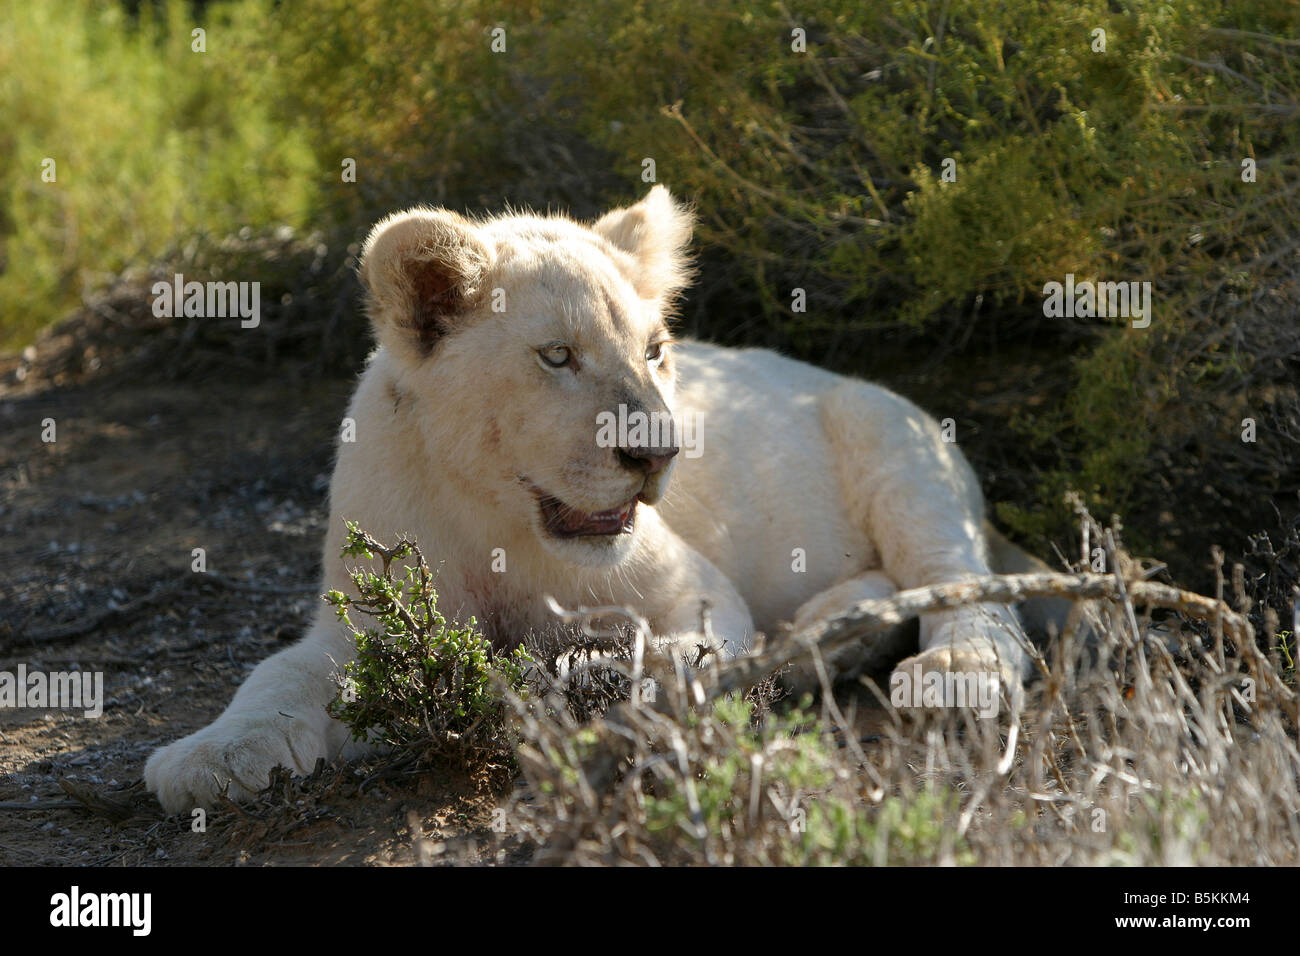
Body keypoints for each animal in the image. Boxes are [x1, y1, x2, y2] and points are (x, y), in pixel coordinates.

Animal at [145, 186, 1052, 813]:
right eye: (557, 356)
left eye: (654, 350)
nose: (659, 452)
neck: (498, 517)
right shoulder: (364, 622)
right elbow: (276, 675)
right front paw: (213, 758)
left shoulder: (692, 586)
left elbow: (671, 660)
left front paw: (584, 682)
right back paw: (831, 636)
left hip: (888, 436)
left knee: (963, 583)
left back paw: (955, 670)